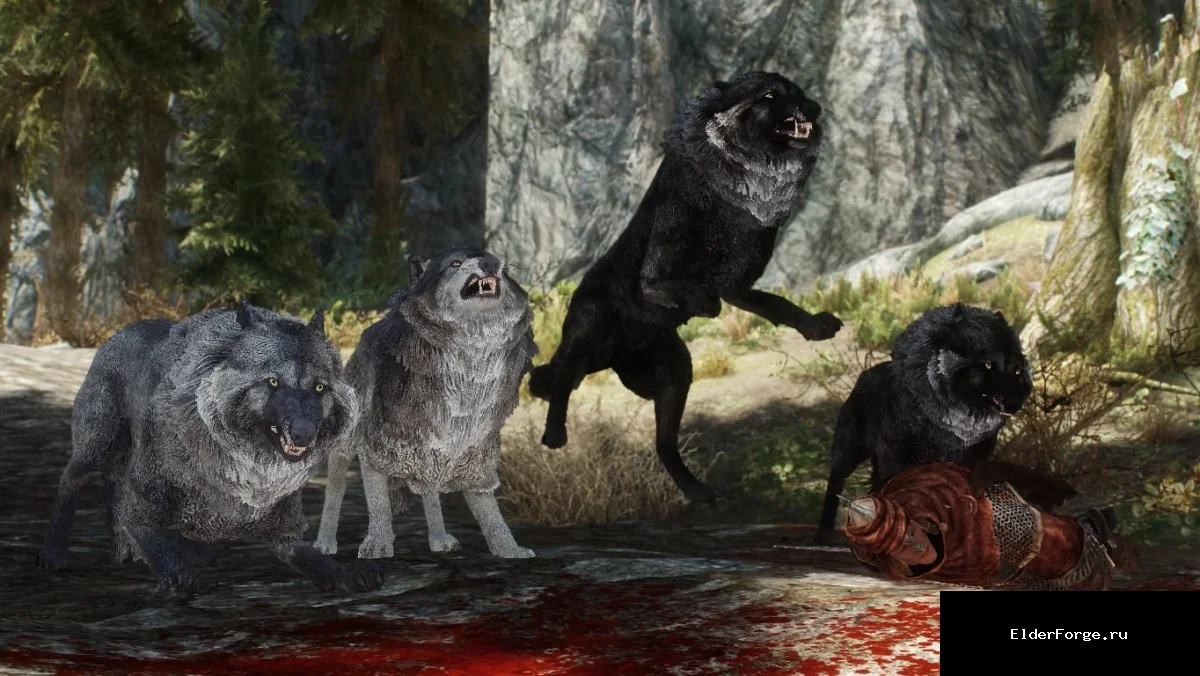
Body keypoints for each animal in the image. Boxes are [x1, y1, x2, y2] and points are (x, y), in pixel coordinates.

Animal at [37, 301, 382, 594]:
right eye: (273, 382)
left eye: (320, 387)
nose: (304, 434)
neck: (249, 468)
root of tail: (117, 334)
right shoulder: (135, 503)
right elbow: (144, 531)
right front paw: (174, 571)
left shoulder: (285, 536)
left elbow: (316, 561)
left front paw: (344, 574)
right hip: (98, 447)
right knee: (72, 479)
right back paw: (54, 552)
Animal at [314, 247, 538, 560]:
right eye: (455, 263)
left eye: (498, 263)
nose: (492, 263)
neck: (469, 368)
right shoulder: (376, 447)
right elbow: (378, 502)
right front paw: (377, 544)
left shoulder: (474, 452)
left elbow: (489, 512)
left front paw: (509, 549)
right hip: (346, 445)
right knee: (334, 488)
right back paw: (324, 543)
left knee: (429, 490)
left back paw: (439, 540)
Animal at [526, 71, 843, 504]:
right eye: (769, 95)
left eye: (798, 91)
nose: (814, 108)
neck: (749, 187)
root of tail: (611, 358)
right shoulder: (656, 274)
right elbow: (682, 289)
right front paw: (705, 305)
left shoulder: (739, 284)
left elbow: (777, 305)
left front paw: (816, 327)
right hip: (582, 337)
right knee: (560, 384)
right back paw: (555, 435)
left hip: (677, 374)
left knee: (664, 443)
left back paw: (699, 492)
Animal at [812, 303, 1034, 545]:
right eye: (987, 364)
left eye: (1017, 370)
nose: (1015, 398)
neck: (955, 430)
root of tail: (864, 375)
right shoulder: (897, 458)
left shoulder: (970, 462)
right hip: (849, 453)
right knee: (836, 481)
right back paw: (824, 533)